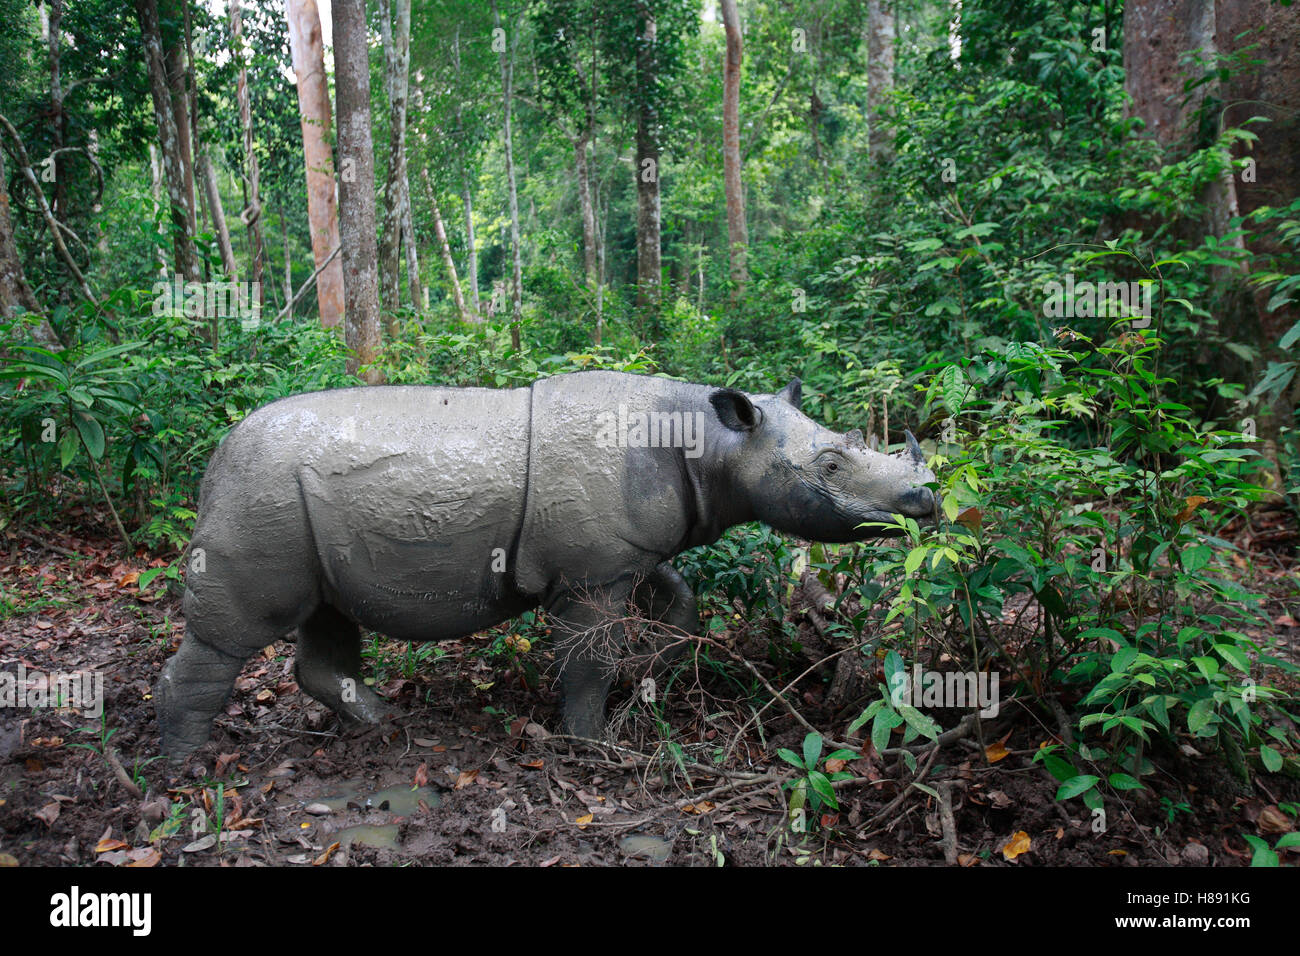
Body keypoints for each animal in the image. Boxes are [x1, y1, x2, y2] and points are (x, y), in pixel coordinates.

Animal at [155, 371, 936, 762]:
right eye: (829, 464)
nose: (925, 500)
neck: (710, 440)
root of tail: (213, 460)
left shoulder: (623, 551)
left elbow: (676, 601)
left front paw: (657, 668)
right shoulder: (593, 571)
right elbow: (587, 655)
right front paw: (596, 745)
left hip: (293, 501)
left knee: (326, 616)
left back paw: (381, 724)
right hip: (261, 492)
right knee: (235, 632)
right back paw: (183, 769)